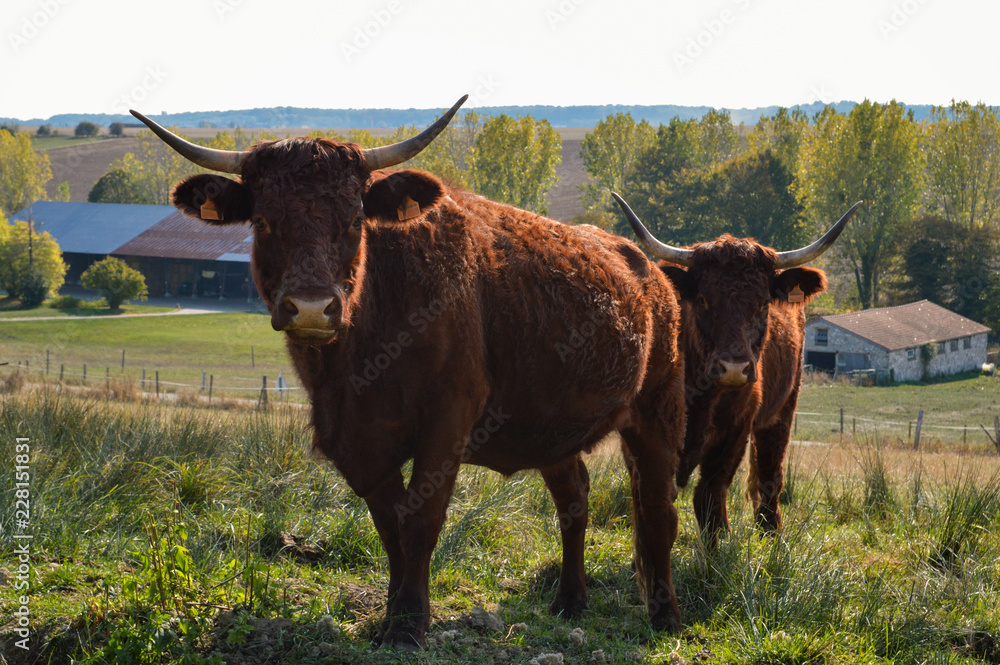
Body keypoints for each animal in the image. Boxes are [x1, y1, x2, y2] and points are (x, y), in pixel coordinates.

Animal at [132, 97, 688, 650]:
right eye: (264, 221)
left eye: (353, 221)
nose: (311, 308)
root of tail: (648, 266)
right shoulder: (355, 443)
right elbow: (390, 526)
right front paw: (390, 615)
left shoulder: (446, 425)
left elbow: (421, 520)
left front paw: (408, 623)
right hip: (551, 431)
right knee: (574, 499)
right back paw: (570, 601)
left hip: (658, 412)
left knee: (659, 509)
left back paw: (666, 616)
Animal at [612, 193, 861, 545]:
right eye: (703, 300)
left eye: (762, 303)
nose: (733, 368)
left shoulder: (735, 429)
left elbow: (710, 492)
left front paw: (716, 550)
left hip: (783, 409)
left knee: (770, 471)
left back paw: (770, 532)